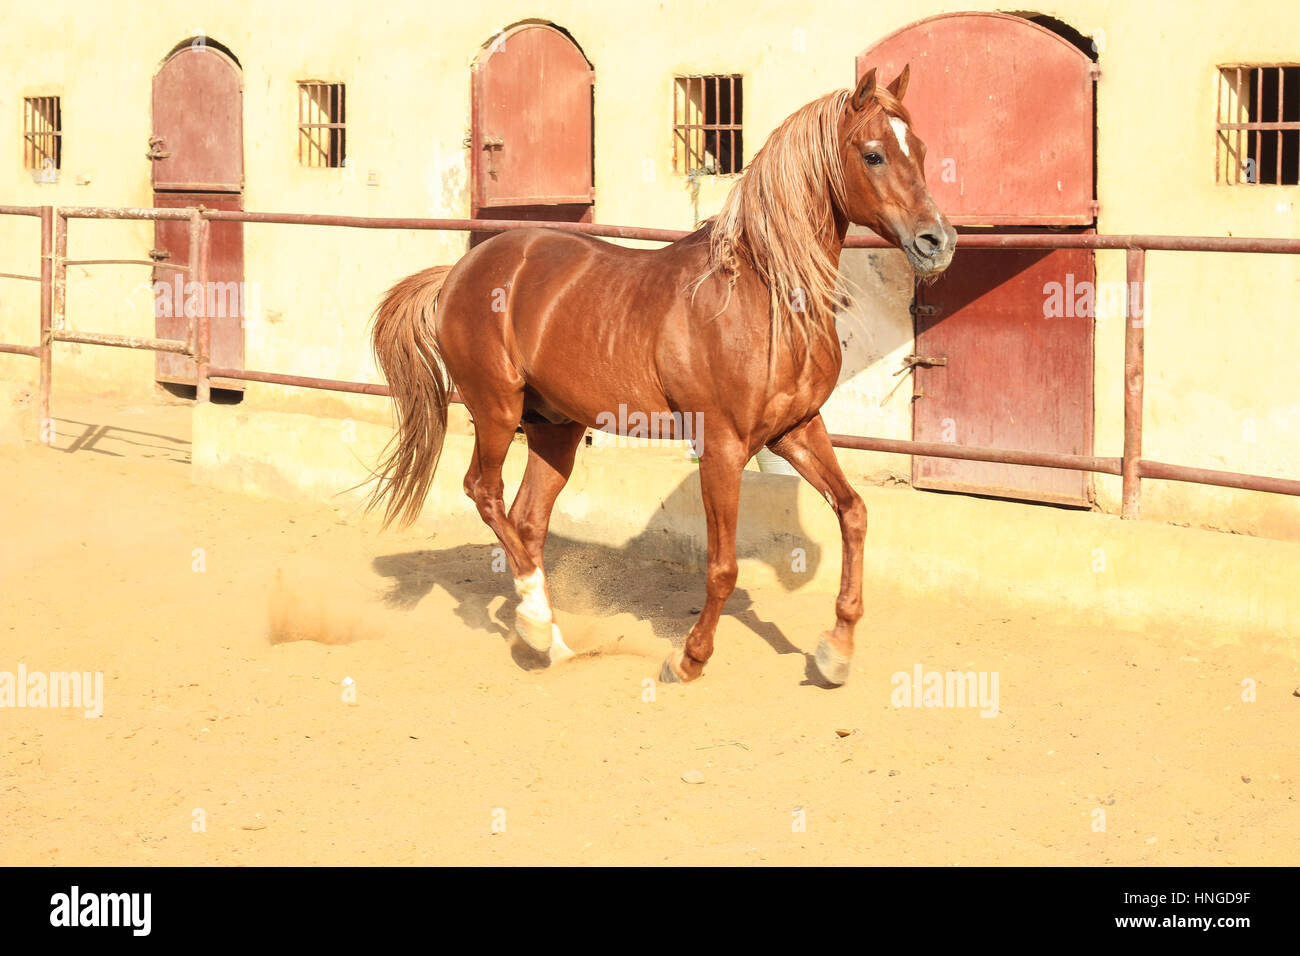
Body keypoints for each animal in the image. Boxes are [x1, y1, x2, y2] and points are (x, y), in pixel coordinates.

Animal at [367, 65, 956, 687]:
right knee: (483, 492)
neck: (764, 297)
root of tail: (458, 271)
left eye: (919, 149)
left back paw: (550, 639)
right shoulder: (722, 446)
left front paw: (835, 652)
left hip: (555, 427)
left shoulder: (796, 429)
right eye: (873, 154)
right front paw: (689, 658)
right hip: (497, 410)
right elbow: (723, 567)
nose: (939, 241)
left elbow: (854, 513)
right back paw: (537, 625)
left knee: (526, 521)